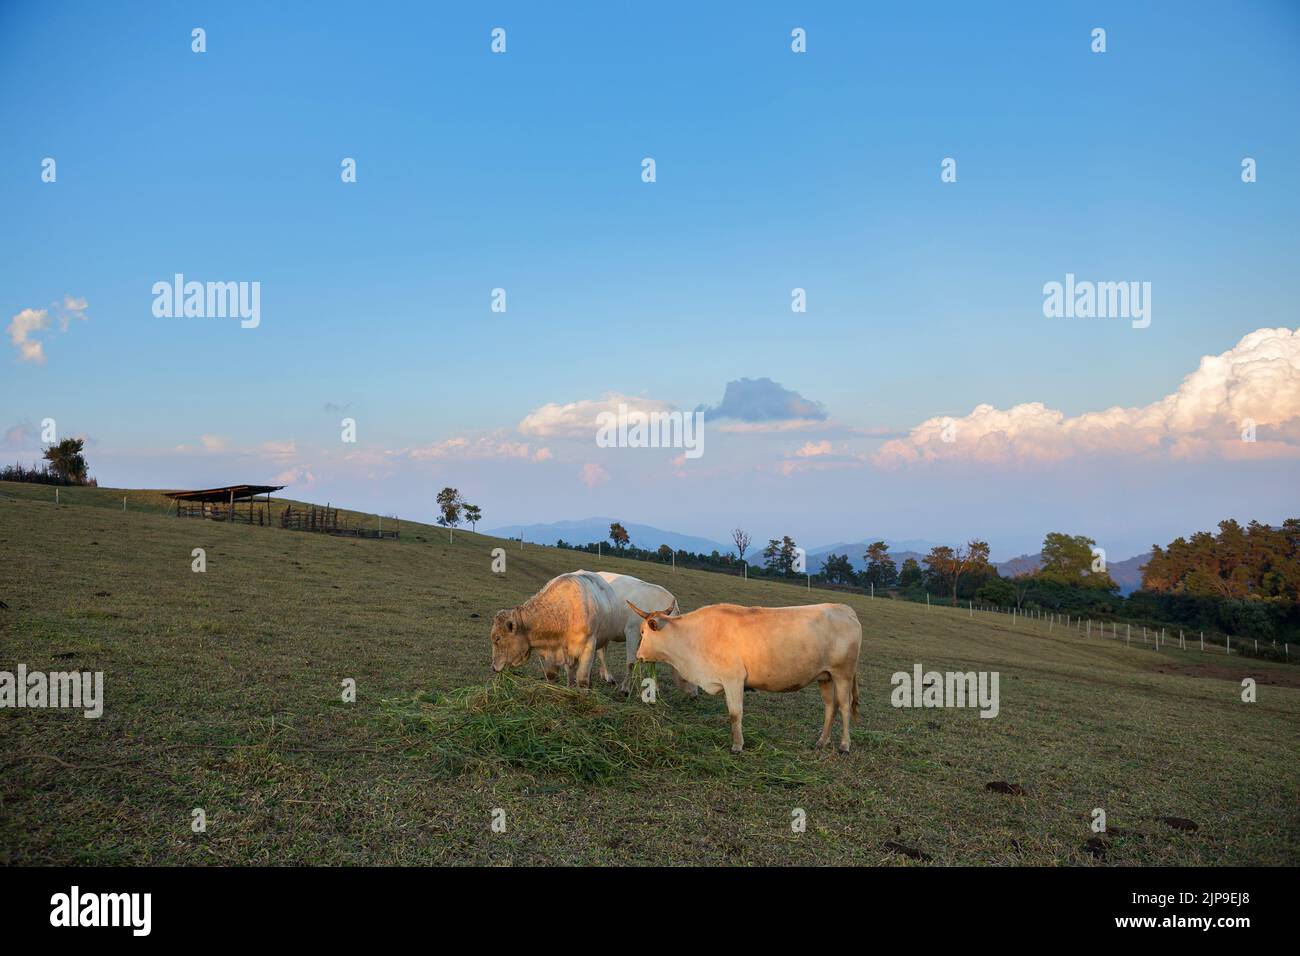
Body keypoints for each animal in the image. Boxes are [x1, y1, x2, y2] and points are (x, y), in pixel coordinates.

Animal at [489, 571, 625, 688]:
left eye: (498, 638)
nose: (493, 668)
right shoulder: (551, 650)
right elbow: (551, 675)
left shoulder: (588, 647)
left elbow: (582, 679)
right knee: (570, 669)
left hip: (603, 641)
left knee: (601, 656)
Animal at [627, 601, 862, 753]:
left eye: (642, 632)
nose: (638, 656)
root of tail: (846, 609)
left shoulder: (733, 680)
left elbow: (735, 714)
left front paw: (737, 746)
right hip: (825, 676)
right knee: (830, 707)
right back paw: (821, 742)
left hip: (843, 674)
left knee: (843, 707)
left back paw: (844, 745)